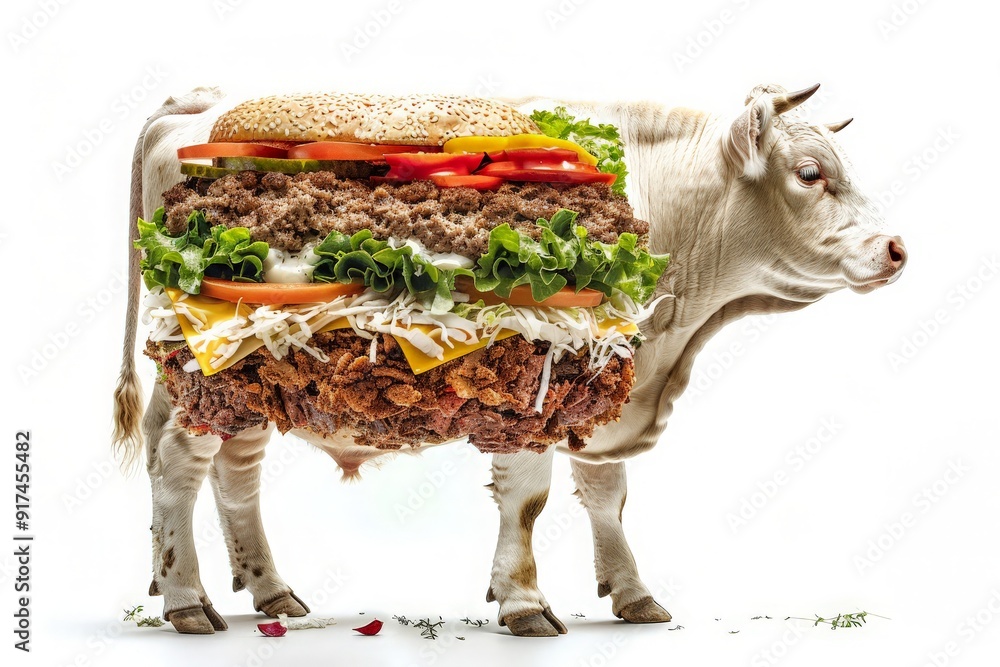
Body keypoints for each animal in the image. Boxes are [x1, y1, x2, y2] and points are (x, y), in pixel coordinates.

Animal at [113, 83, 906, 636]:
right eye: (810, 172)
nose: (896, 247)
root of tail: (203, 102)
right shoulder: (534, 401)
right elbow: (529, 500)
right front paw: (524, 601)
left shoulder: (608, 391)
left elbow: (607, 495)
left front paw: (633, 593)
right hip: (203, 381)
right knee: (179, 464)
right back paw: (186, 598)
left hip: (229, 384)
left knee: (229, 469)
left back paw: (264, 587)